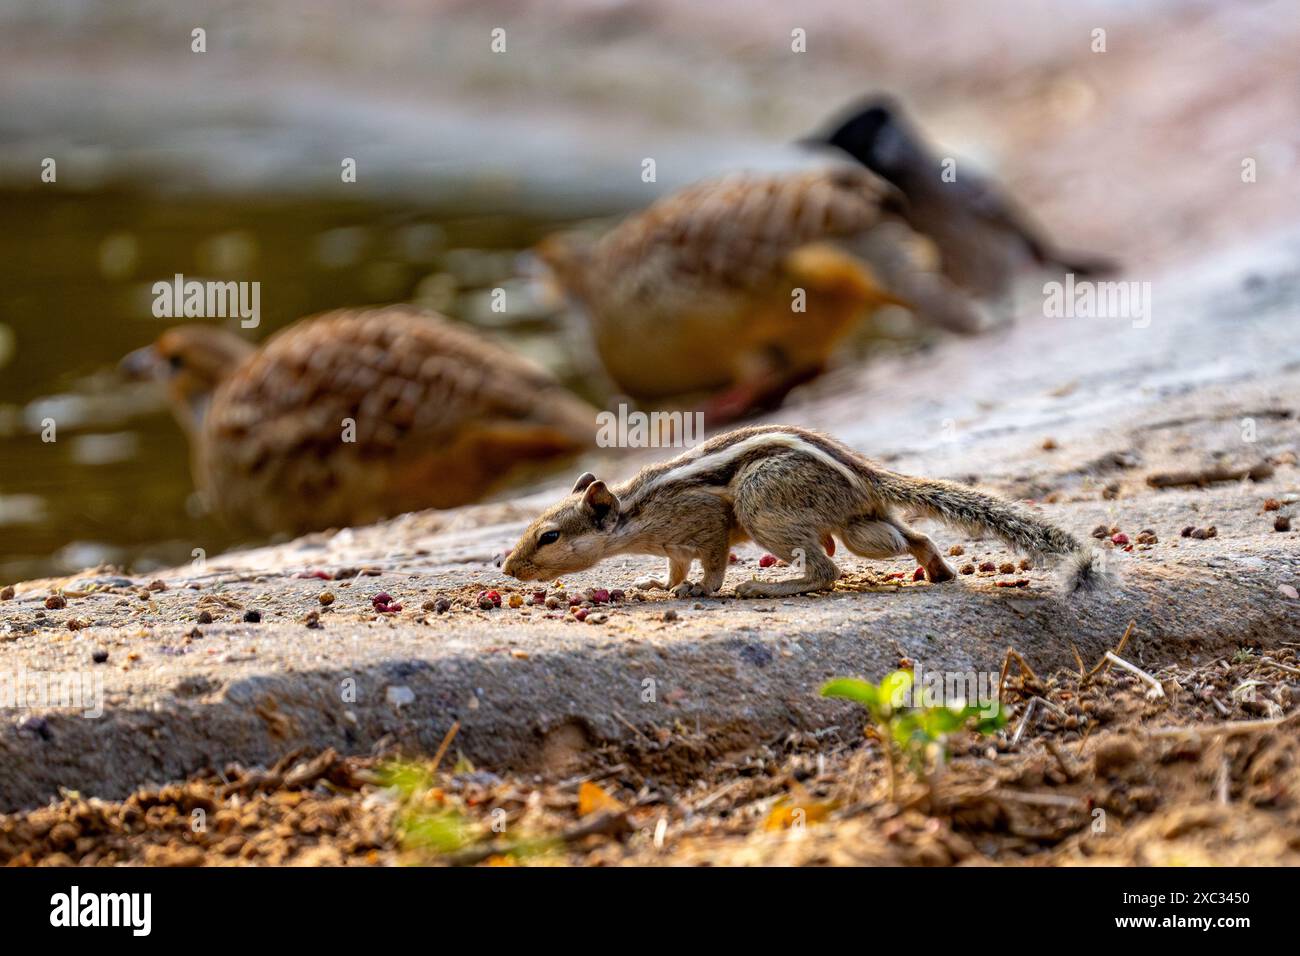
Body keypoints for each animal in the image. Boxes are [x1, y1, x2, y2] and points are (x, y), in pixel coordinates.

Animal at [502, 424, 1103, 598]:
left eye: (549, 537)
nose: (507, 567)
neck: (634, 513)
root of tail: (865, 474)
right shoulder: (674, 545)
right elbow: (672, 566)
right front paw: (659, 585)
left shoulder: (706, 522)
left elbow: (710, 563)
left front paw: (699, 590)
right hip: (862, 525)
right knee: (906, 539)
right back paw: (937, 570)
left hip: (761, 507)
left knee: (826, 570)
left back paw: (767, 587)